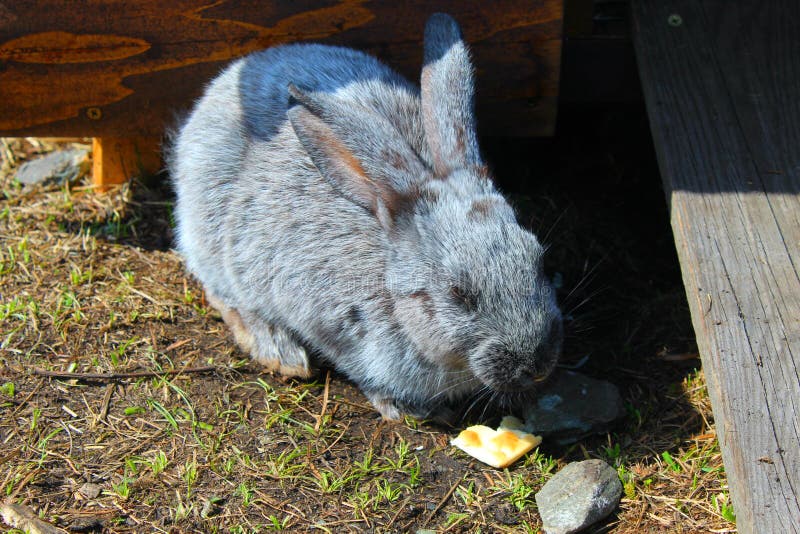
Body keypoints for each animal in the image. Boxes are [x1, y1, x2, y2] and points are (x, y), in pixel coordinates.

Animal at [169, 13, 563, 421]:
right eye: (459, 294)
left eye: (540, 262)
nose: (536, 365)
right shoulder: (328, 322)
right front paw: (401, 407)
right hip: (212, 237)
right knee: (223, 294)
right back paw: (282, 352)